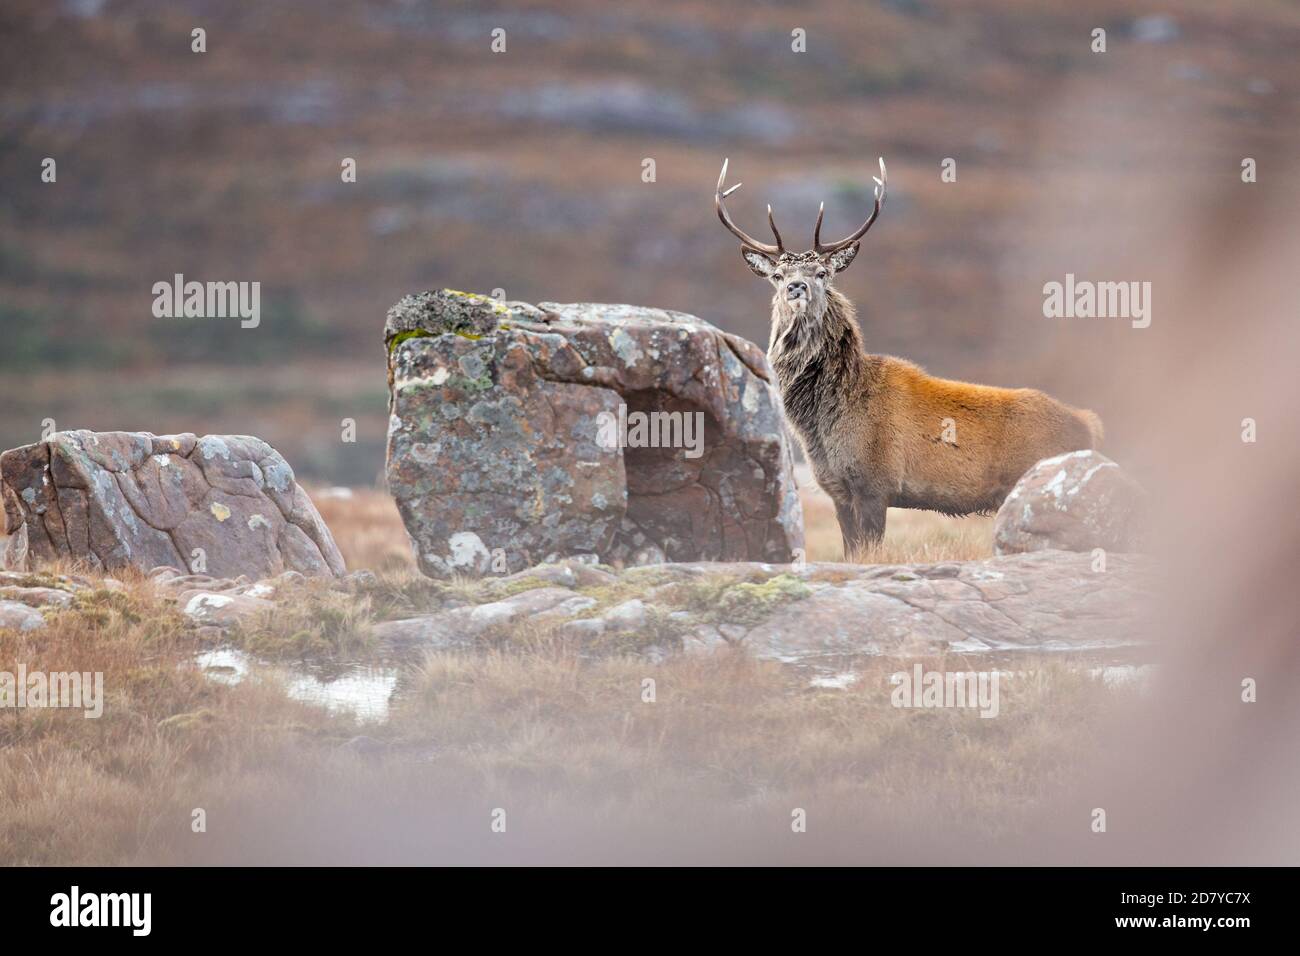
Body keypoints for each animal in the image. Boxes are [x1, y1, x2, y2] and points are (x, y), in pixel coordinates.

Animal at [714, 158, 1104, 559]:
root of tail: (1089, 425)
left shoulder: (875, 483)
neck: (822, 422)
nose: (796, 287)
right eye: (777, 275)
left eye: (822, 272)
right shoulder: (837, 490)